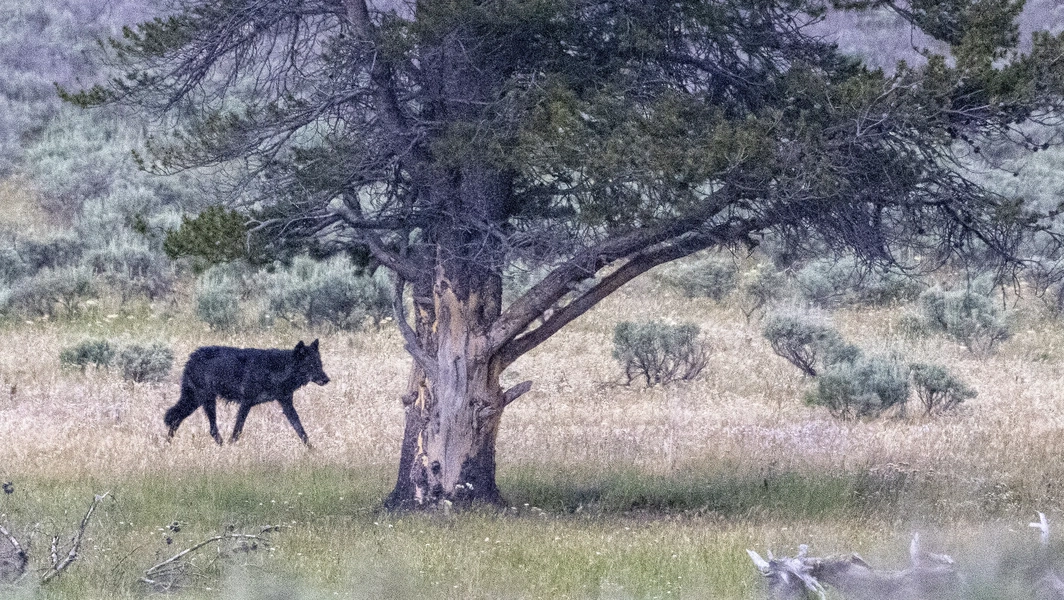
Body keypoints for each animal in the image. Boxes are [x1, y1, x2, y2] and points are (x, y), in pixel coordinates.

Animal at [164, 339, 330, 446]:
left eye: (320, 364)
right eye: (311, 365)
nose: (327, 379)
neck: (276, 370)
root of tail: (191, 357)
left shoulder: (286, 404)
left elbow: (301, 430)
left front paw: (312, 450)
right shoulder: (246, 403)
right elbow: (237, 430)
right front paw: (232, 448)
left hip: (198, 401)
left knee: (180, 420)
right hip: (201, 400)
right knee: (187, 421)